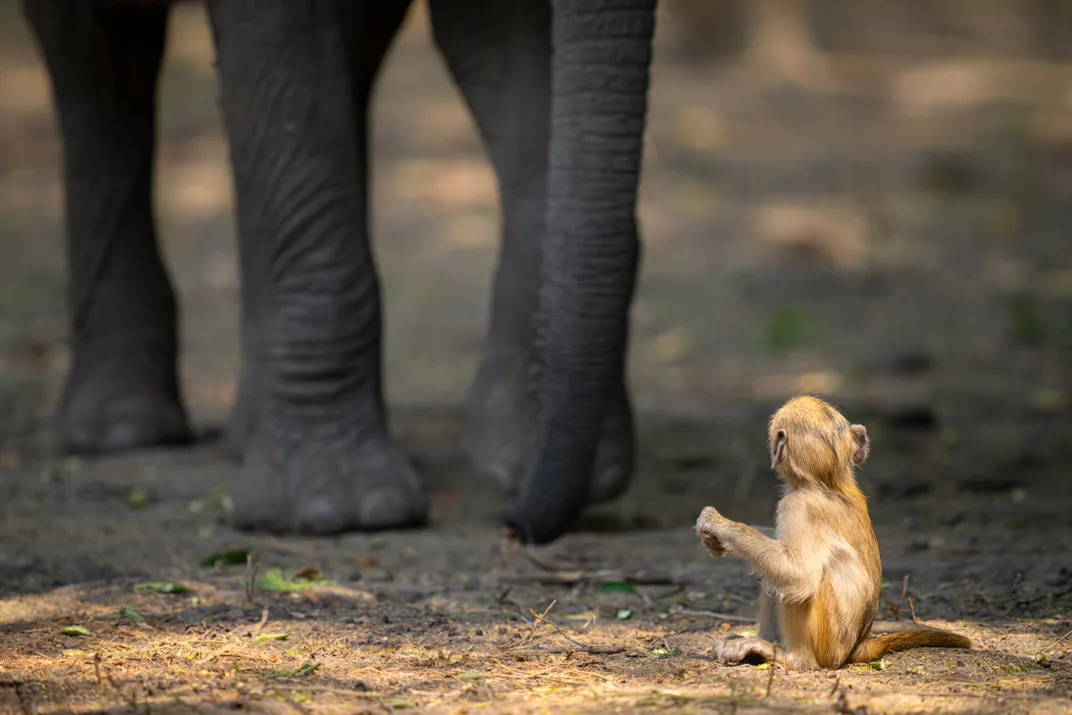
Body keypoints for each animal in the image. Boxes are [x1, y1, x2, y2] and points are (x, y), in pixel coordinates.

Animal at [20, 0, 657, 545]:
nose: (514, 527)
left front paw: (536, 466)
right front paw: (339, 514)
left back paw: (243, 438)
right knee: (97, 61)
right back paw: (123, 434)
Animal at [694, 395, 971, 670]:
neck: (829, 483)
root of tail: (856, 647)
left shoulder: (797, 506)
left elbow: (800, 575)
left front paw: (718, 526)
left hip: (828, 644)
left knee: (803, 583)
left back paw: (790, 657)